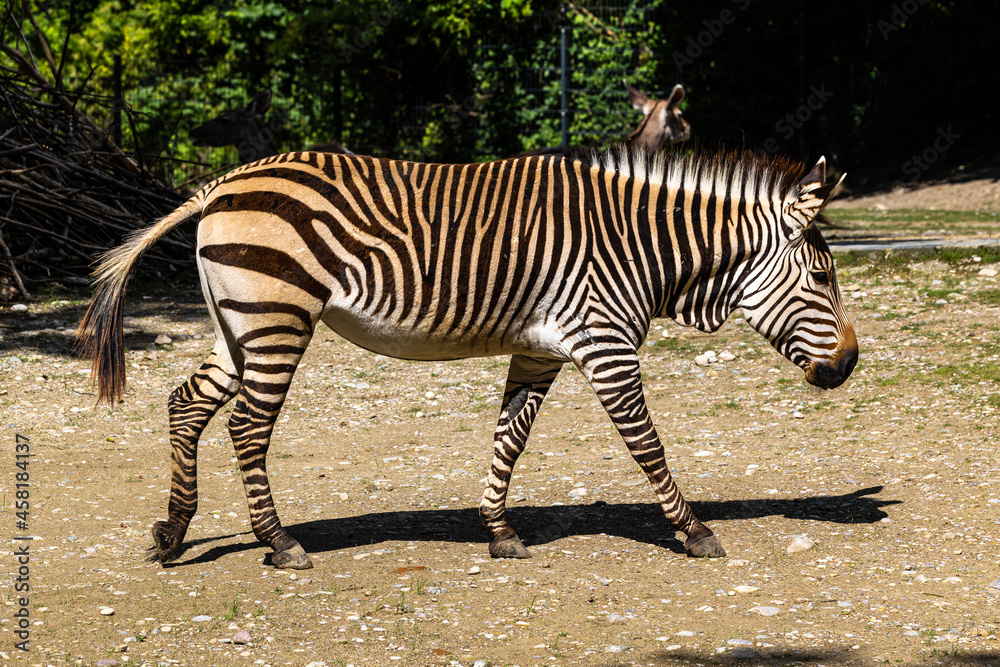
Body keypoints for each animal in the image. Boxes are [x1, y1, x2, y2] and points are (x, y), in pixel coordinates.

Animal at [77, 146, 857, 570]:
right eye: (823, 276)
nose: (850, 365)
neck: (642, 247)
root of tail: (221, 183)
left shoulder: (540, 351)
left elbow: (510, 438)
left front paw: (500, 533)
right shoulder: (603, 342)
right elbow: (648, 444)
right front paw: (694, 532)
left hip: (237, 323)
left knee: (186, 404)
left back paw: (172, 532)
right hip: (276, 318)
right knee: (246, 427)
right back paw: (281, 543)